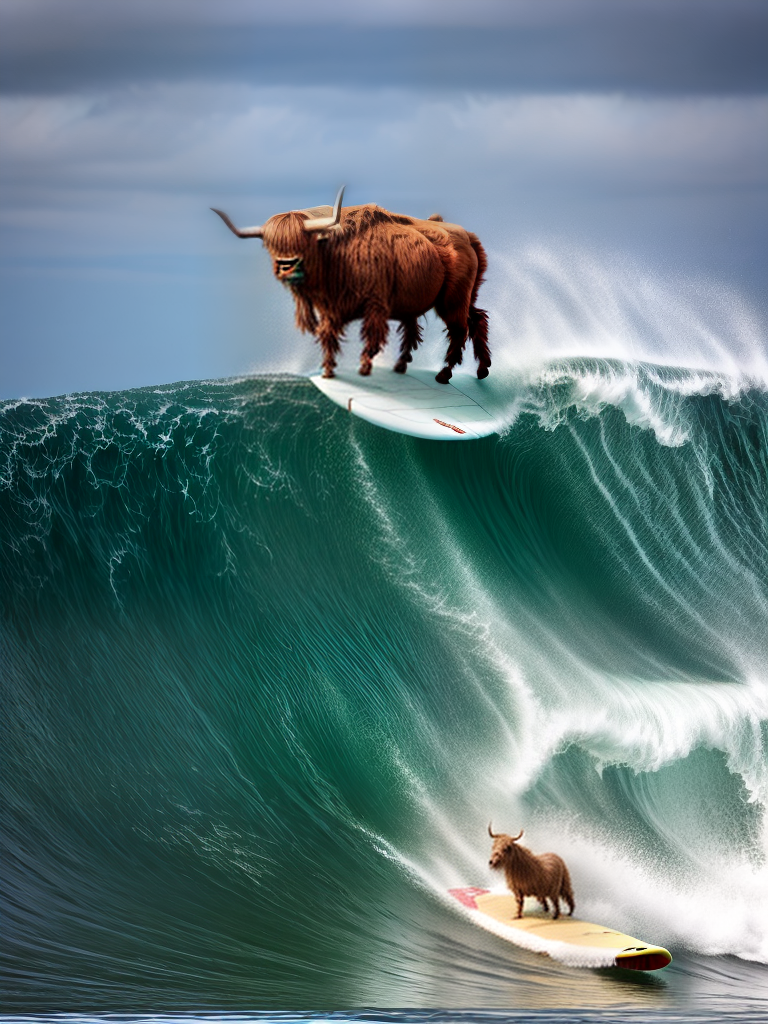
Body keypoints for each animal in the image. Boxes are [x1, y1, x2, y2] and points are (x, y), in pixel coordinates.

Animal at [212, 187, 490, 384]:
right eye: (269, 245)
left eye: (306, 239)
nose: (287, 266)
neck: (335, 252)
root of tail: (466, 235)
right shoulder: (330, 310)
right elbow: (328, 336)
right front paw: (328, 370)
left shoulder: (374, 306)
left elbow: (371, 336)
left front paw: (364, 367)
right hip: (462, 297)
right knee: (474, 319)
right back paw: (478, 369)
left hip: (452, 300)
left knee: (458, 329)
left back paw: (444, 374)